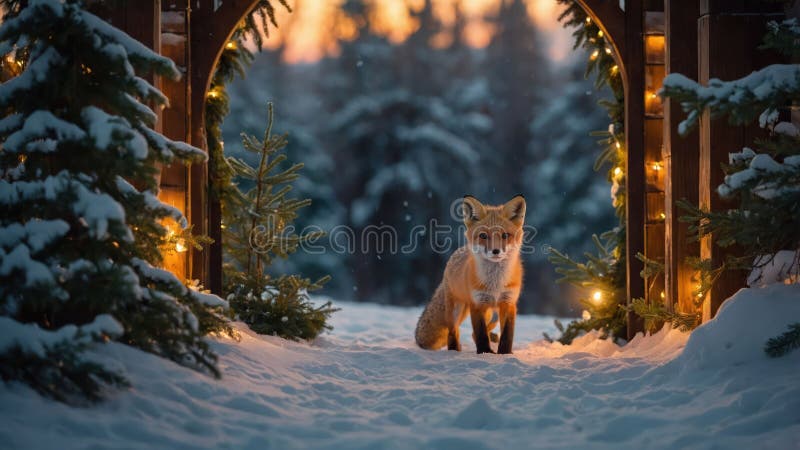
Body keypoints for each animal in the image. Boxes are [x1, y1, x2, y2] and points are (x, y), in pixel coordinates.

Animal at [415, 194, 525, 354]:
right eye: (483, 235)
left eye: (505, 235)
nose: (496, 251)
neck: (495, 283)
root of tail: (457, 252)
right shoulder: (477, 303)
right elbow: (481, 334)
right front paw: (485, 353)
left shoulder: (508, 302)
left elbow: (507, 334)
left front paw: (504, 353)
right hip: (456, 310)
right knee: (453, 332)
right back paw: (454, 350)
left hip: (489, 312)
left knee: (473, 333)